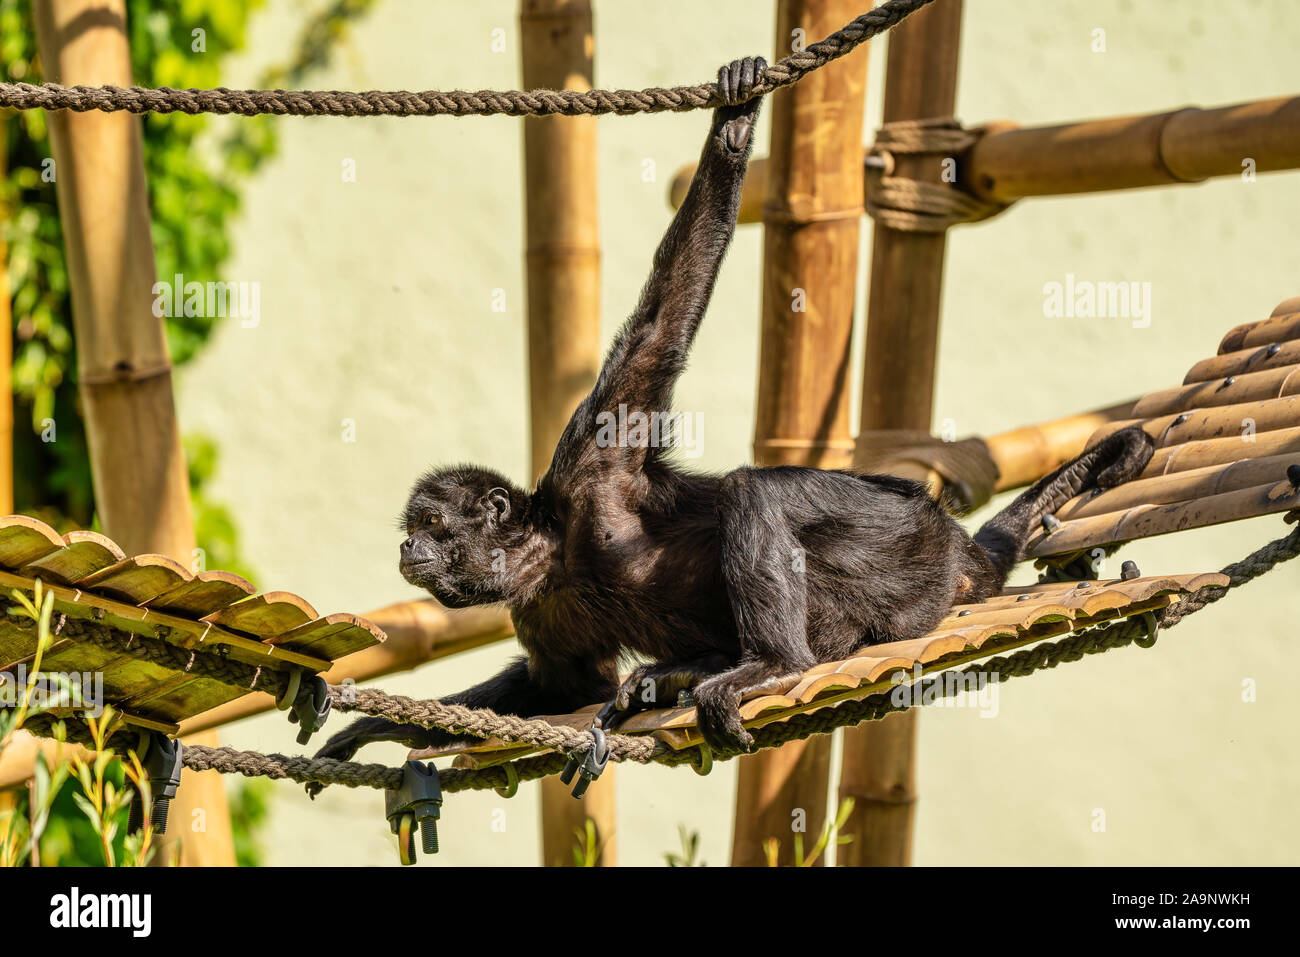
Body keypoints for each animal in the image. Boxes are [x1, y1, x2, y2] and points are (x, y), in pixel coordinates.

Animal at [309, 56, 1155, 779]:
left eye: (431, 523)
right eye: (410, 529)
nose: (409, 546)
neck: (555, 546)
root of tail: (954, 546)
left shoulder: (593, 456)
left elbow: (661, 325)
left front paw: (734, 124)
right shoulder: (538, 607)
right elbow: (561, 686)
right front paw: (381, 724)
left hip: (905, 542)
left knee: (760, 489)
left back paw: (772, 662)